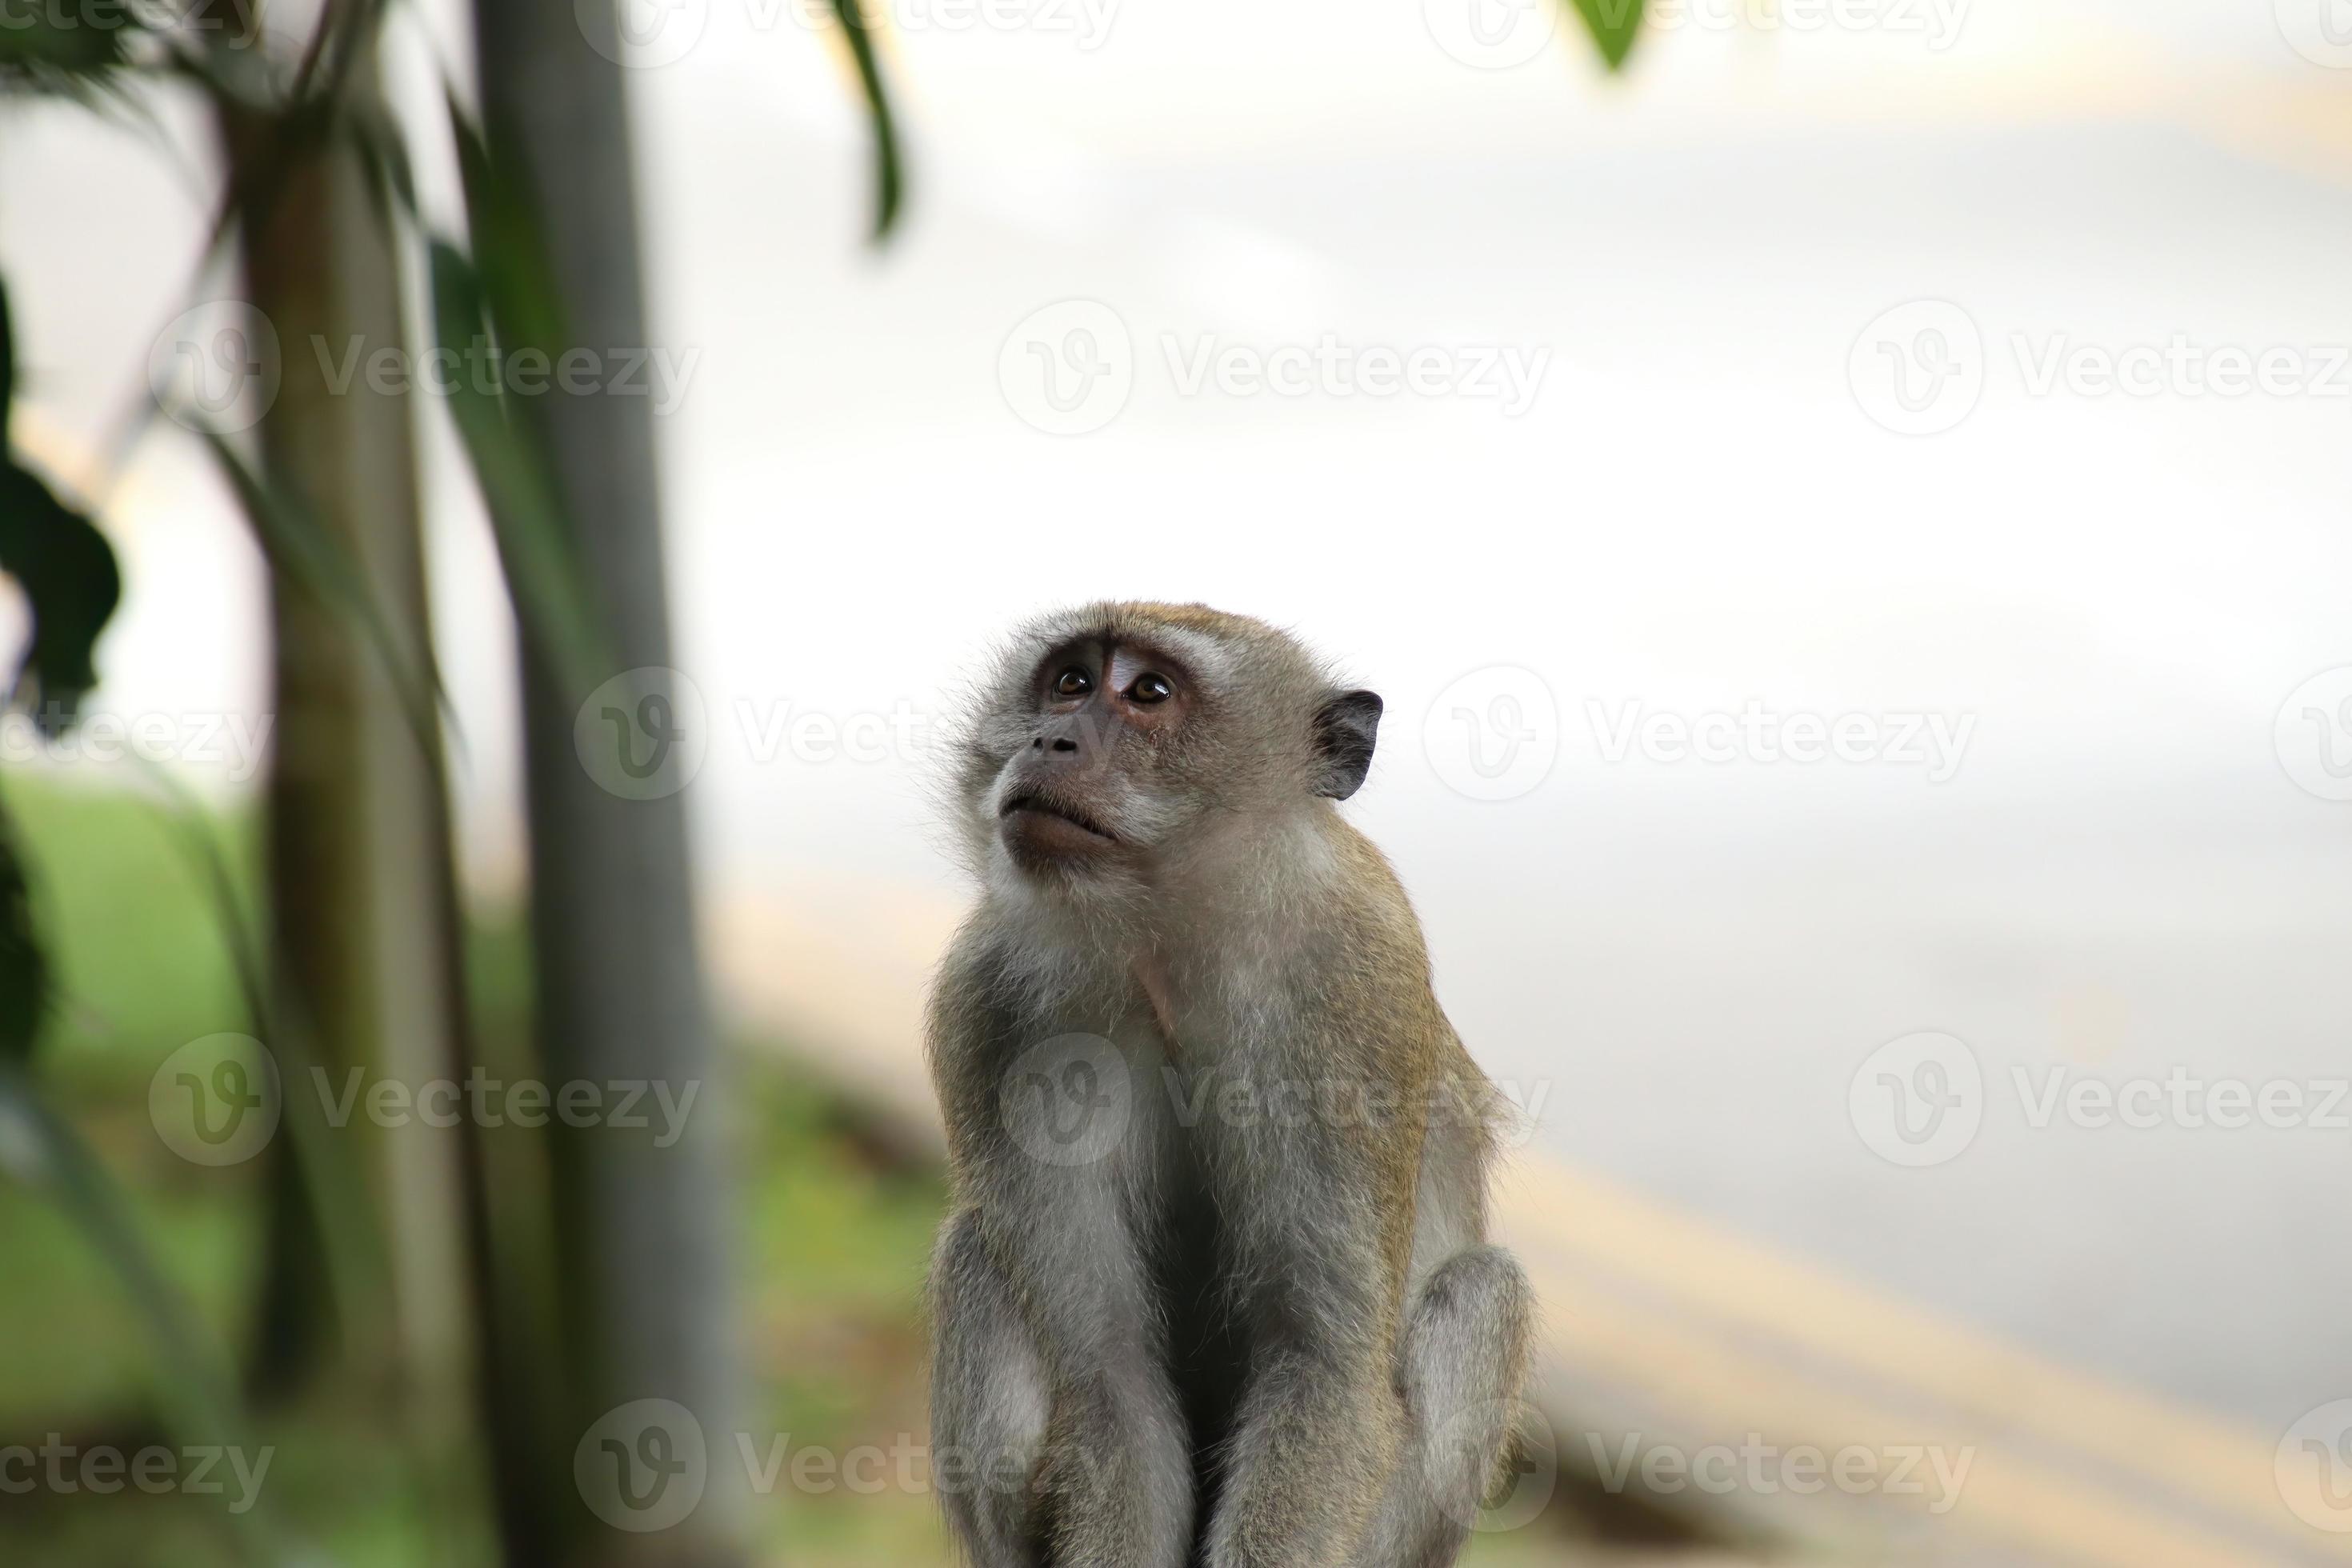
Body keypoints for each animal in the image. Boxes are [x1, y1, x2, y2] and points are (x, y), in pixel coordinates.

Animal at [926, 602, 1534, 1568]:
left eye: (1149, 693)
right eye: (1069, 682)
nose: (1051, 739)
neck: (1169, 945)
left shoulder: (1352, 987)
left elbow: (1323, 1367)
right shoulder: (986, 1007)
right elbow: (1110, 1375)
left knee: (1482, 1292)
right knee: (977, 1255)